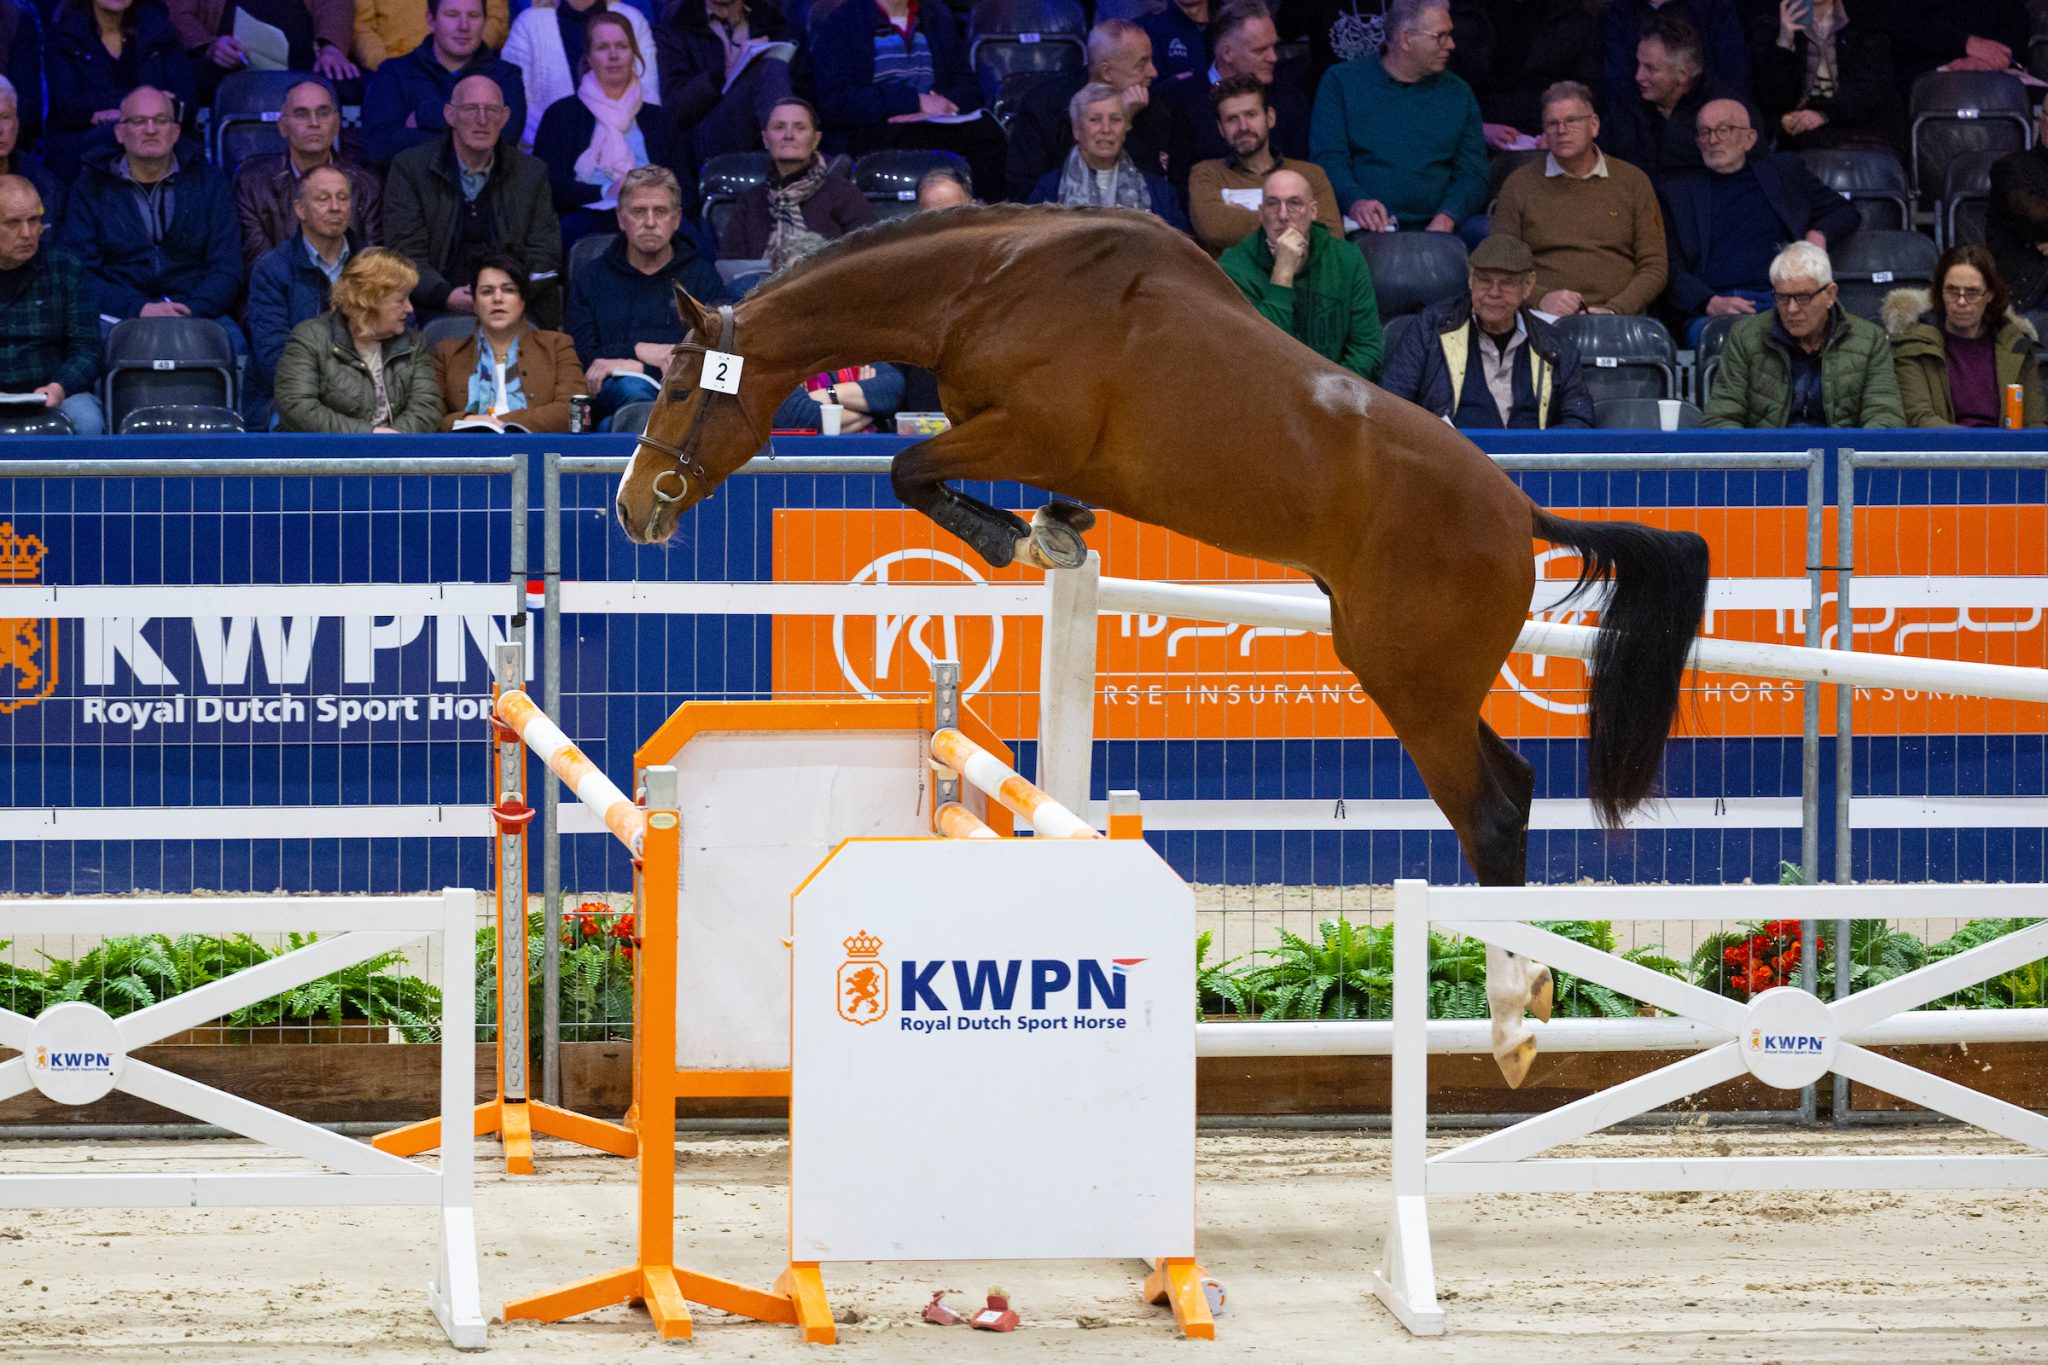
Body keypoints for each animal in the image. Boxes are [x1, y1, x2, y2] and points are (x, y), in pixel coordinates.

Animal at [614, 204, 1710, 1086]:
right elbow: (938, 476)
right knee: (1512, 787)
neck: (990, 284)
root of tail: (1519, 512)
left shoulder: (1024, 429)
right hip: (1416, 677)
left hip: (1410, 682)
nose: (631, 509)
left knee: (1489, 810)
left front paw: (1019, 537)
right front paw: (1052, 530)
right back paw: (1521, 1002)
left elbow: (907, 466)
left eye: (679, 389)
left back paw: (1512, 1022)